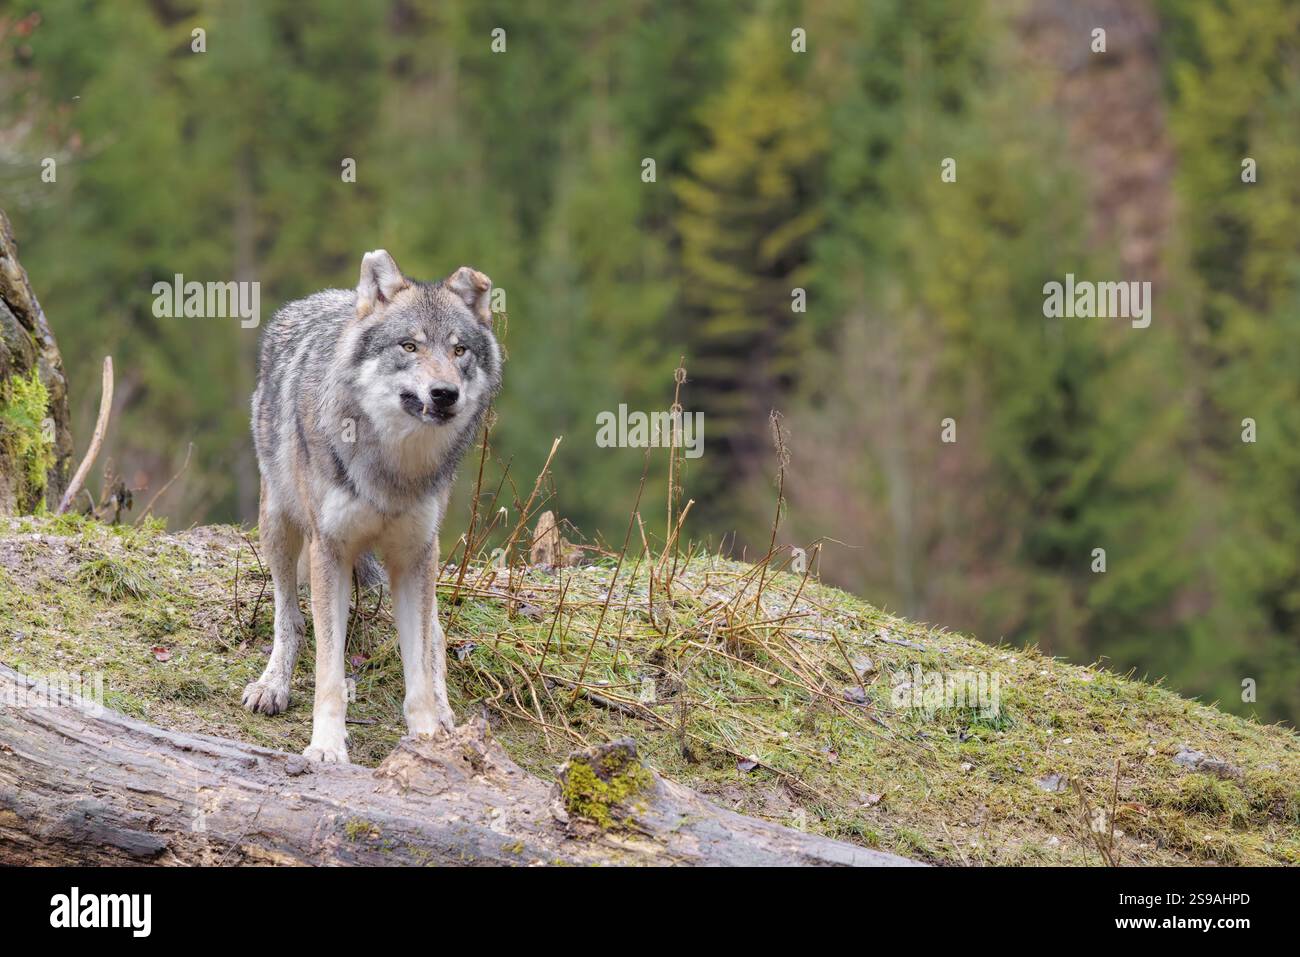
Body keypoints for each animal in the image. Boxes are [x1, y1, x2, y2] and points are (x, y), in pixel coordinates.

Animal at [245, 250, 501, 764]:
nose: (445, 393)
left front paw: (427, 741)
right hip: (279, 524)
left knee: (437, 637)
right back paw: (273, 686)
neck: (394, 468)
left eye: (459, 351)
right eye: (410, 346)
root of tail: (323, 297)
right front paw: (326, 746)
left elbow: (419, 668)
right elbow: (328, 671)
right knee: (290, 619)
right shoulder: (330, 550)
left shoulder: (415, 557)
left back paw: (448, 719)